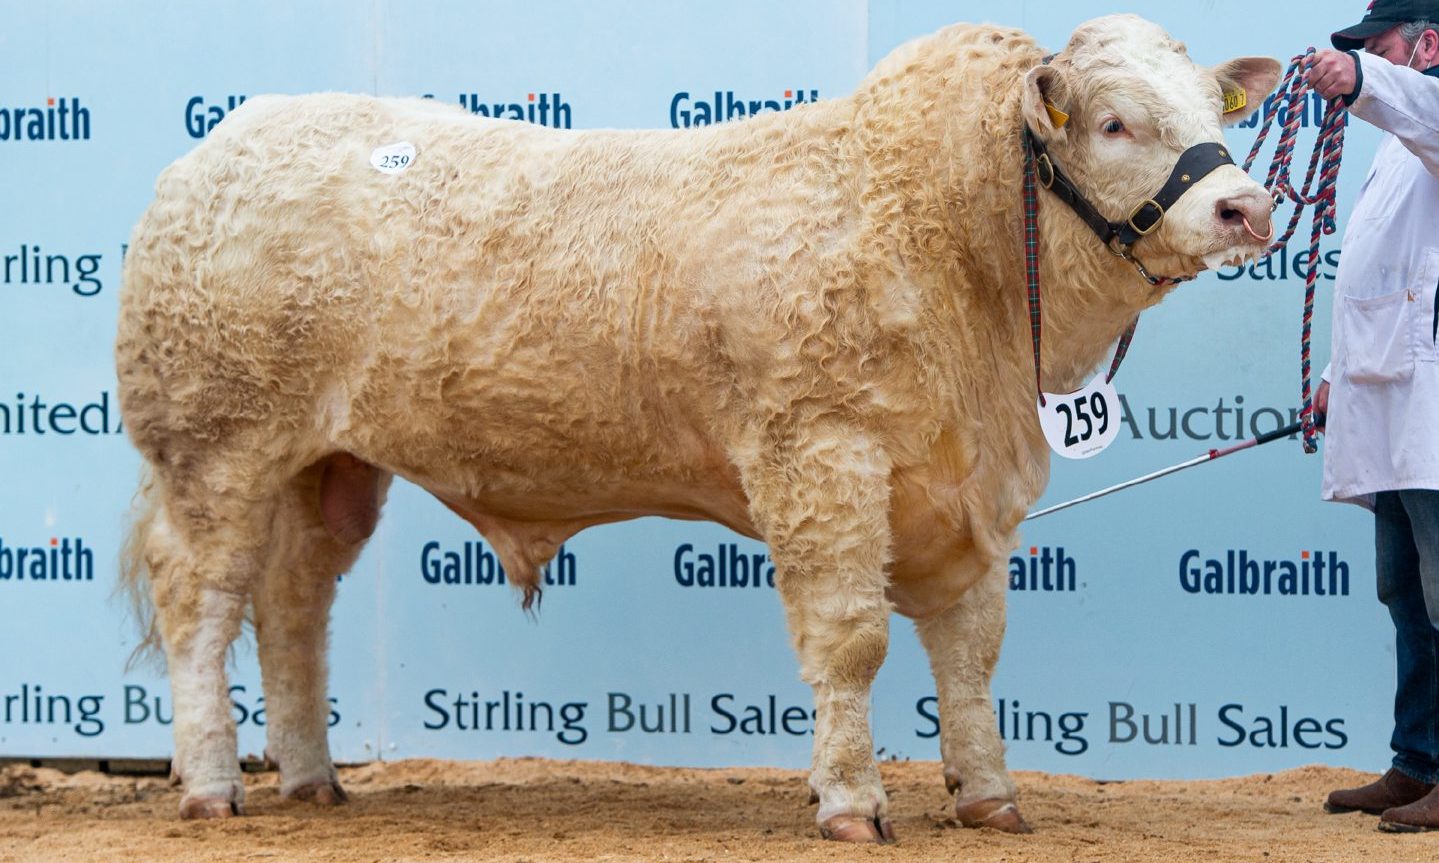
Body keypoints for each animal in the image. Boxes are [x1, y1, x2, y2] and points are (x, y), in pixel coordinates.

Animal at [115, 14, 1280, 843]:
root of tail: (225, 141)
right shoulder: (820, 455)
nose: (1247, 208)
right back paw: (212, 784)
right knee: (202, 604)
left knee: (293, 604)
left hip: (327, 464)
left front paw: (988, 794)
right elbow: (852, 638)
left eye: (1209, 106)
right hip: (215, 446)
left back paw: (312, 779)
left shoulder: (972, 487)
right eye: (1115, 121)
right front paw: (850, 802)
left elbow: (972, 645)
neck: (951, 245)